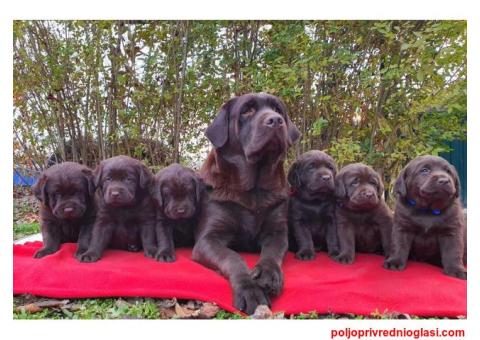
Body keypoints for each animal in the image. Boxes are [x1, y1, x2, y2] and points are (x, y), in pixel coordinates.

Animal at [192, 92, 300, 314]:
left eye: (278, 110)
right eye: (247, 111)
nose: (275, 120)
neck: (253, 191)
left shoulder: (277, 232)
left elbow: (272, 252)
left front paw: (268, 274)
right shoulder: (208, 239)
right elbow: (232, 257)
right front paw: (249, 289)